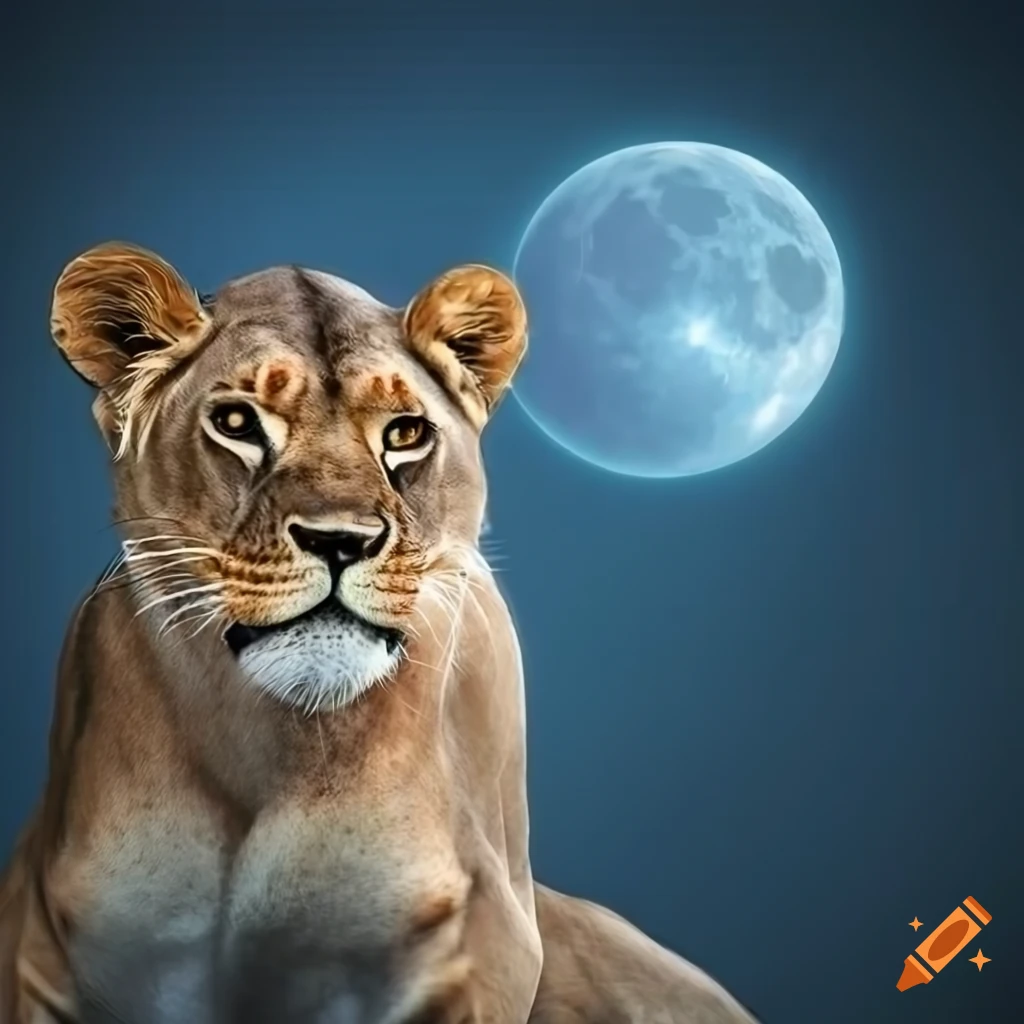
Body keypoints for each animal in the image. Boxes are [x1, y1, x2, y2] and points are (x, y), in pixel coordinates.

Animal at [0, 243, 759, 1024]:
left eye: (405, 433)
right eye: (237, 422)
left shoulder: (475, 949)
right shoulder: (44, 954)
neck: (275, 755)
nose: (340, 541)